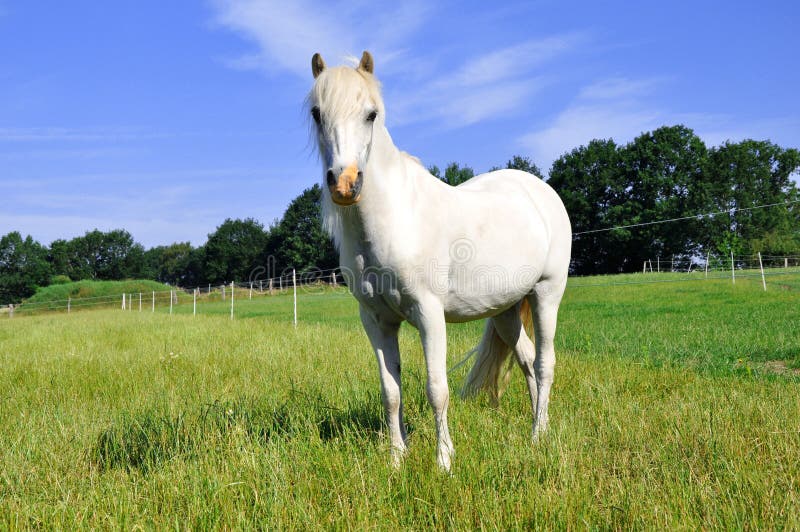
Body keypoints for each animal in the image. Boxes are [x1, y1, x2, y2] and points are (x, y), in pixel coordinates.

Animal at [308, 51, 571, 471]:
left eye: (371, 114)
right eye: (317, 113)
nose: (346, 184)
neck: (396, 218)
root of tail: (539, 189)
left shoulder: (429, 314)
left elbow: (437, 389)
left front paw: (443, 461)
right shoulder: (376, 320)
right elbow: (391, 392)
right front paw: (396, 460)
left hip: (547, 293)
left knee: (546, 364)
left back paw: (538, 437)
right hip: (506, 310)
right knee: (528, 361)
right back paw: (536, 428)